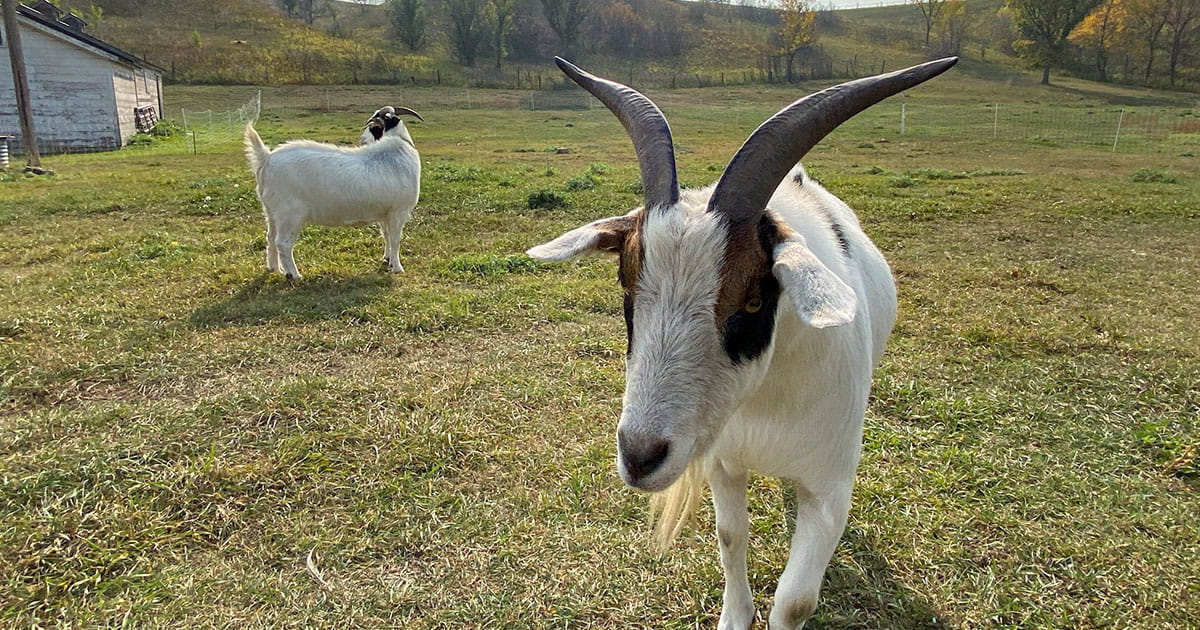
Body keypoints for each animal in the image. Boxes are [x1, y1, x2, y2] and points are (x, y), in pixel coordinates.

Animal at [243, 106, 423, 279]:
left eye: (375, 128)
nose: (362, 140)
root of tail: (266, 159)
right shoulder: (398, 211)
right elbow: (395, 239)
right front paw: (398, 268)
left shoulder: (385, 213)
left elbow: (386, 236)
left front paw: (388, 260)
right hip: (290, 214)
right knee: (283, 243)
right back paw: (294, 274)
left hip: (272, 212)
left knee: (270, 238)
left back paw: (275, 269)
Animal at [527, 57, 957, 629]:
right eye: (626, 284)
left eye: (752, 301)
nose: (640, 457)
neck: (764, 405)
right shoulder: (723, 463)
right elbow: (731, 538)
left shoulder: (830, 488)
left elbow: (796, 599)